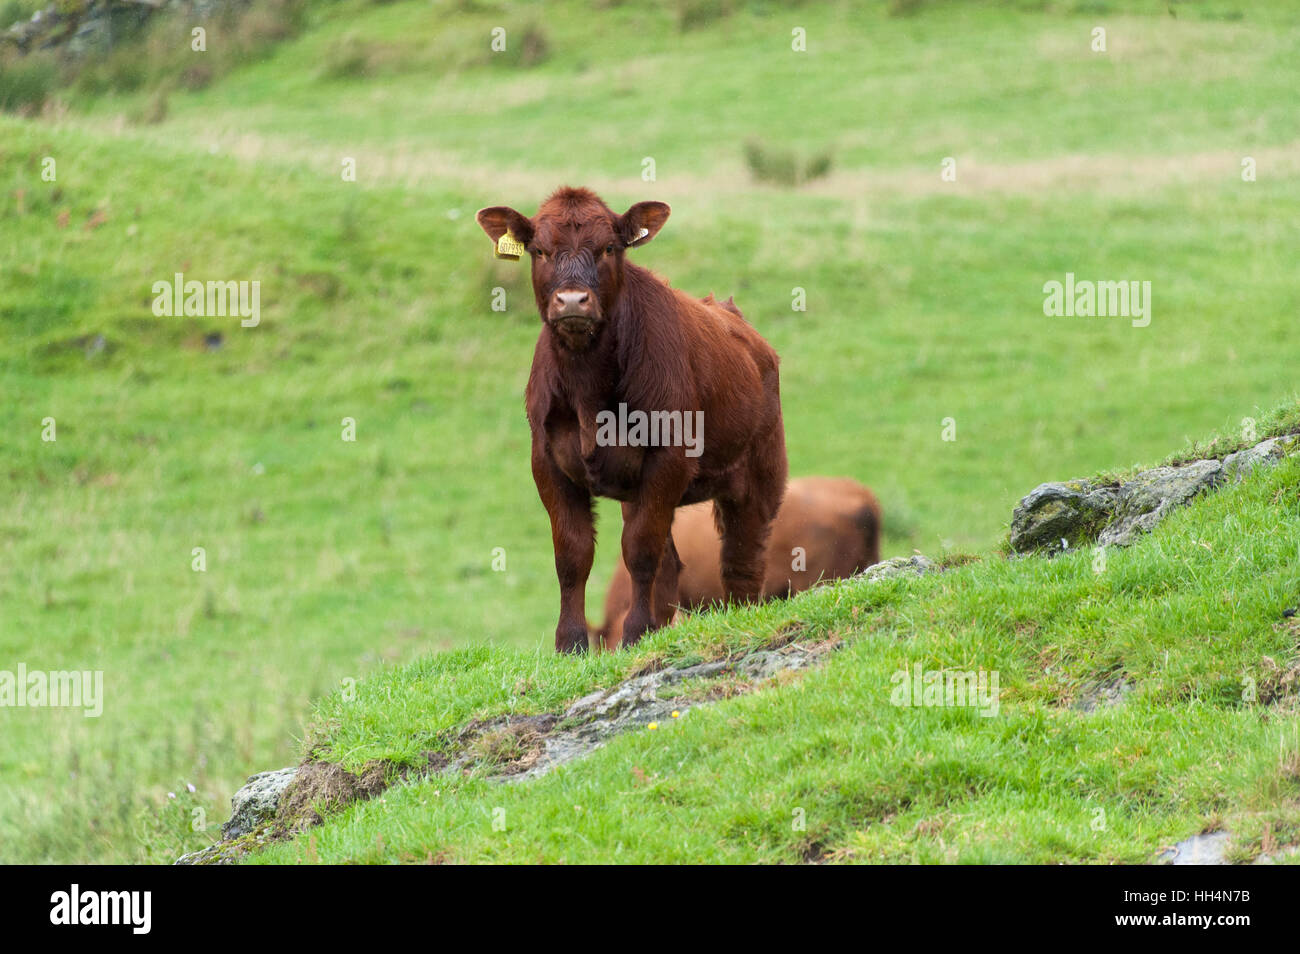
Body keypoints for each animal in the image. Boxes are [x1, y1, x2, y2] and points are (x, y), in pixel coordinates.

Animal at [475, 187, 787, 653]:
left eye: (609, 247)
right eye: (540, 250)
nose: (572, 301)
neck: (587, 390)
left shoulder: (668, 457)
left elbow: (640, 551)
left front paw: (635, 632)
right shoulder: (547, 463)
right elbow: (573, 554)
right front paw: (571, 644)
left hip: (760, 474)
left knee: (742, 559)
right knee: (673, 563)